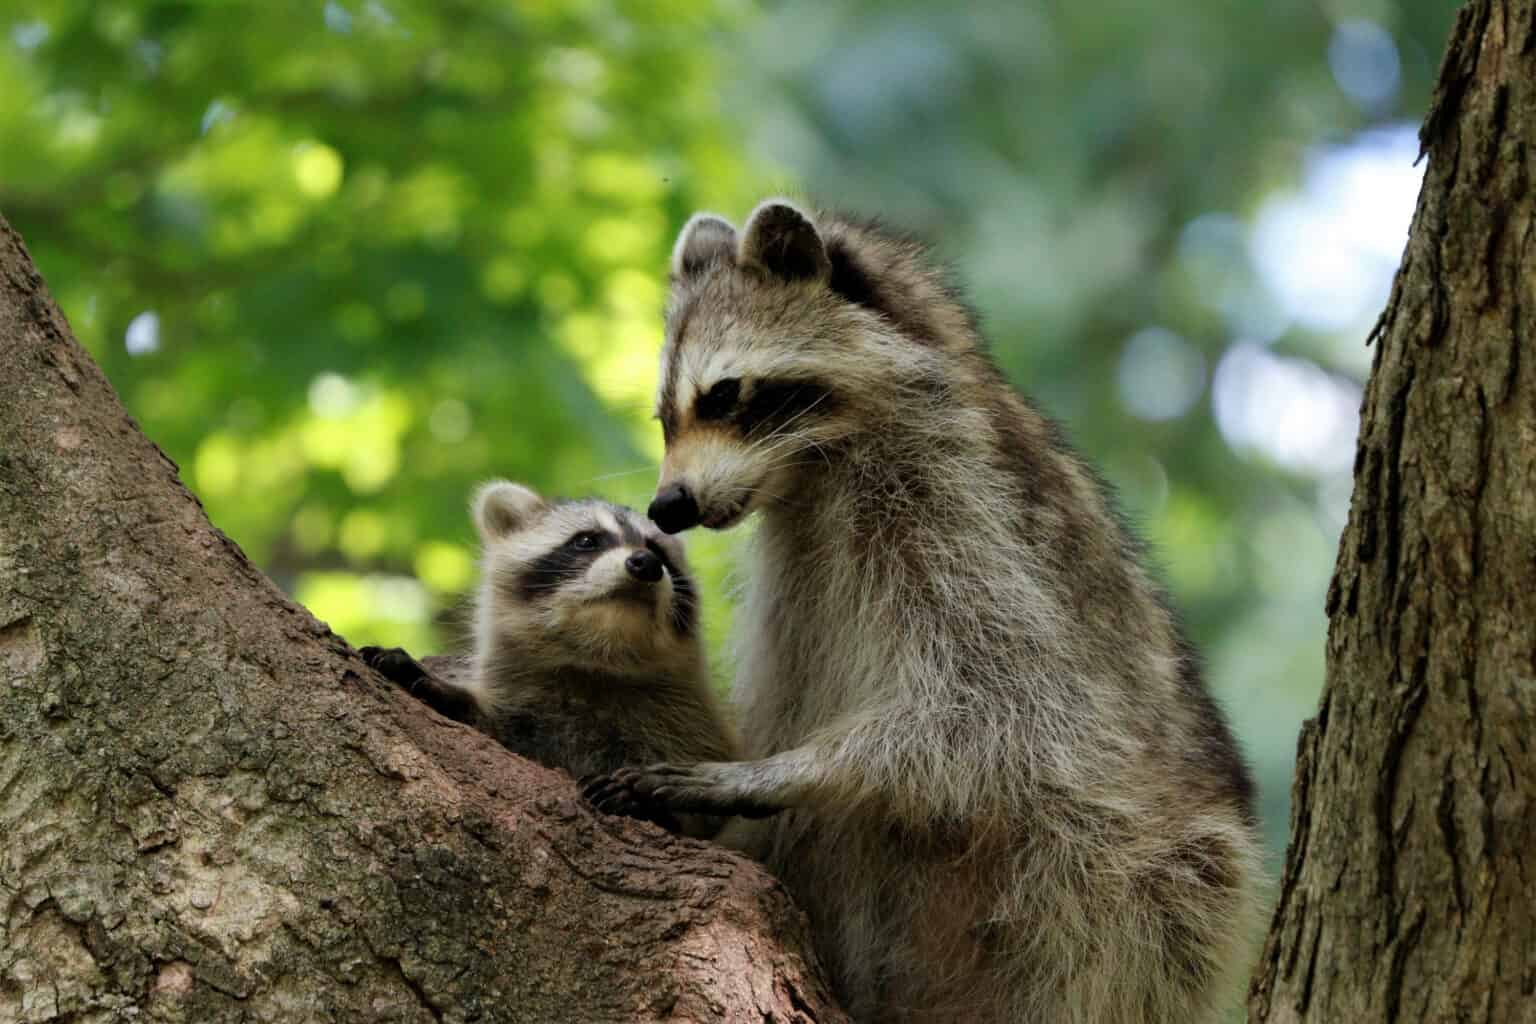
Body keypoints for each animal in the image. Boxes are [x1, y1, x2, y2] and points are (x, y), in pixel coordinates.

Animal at [367, 480, 737, 839]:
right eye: (587, 540)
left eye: (659, 552)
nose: (645, 562)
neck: (596, 662)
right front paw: (446, 692)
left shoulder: (686, 725)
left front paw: (648, 802)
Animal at [586, 201, 1264, 1021]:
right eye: (663, 418)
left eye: (721, 396)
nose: (667, 507)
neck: (815, 467)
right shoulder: (797, 563)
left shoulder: (964, 508)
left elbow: (998, 708)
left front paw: (775, 772)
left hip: (1151, 888)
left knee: (1154, 895)